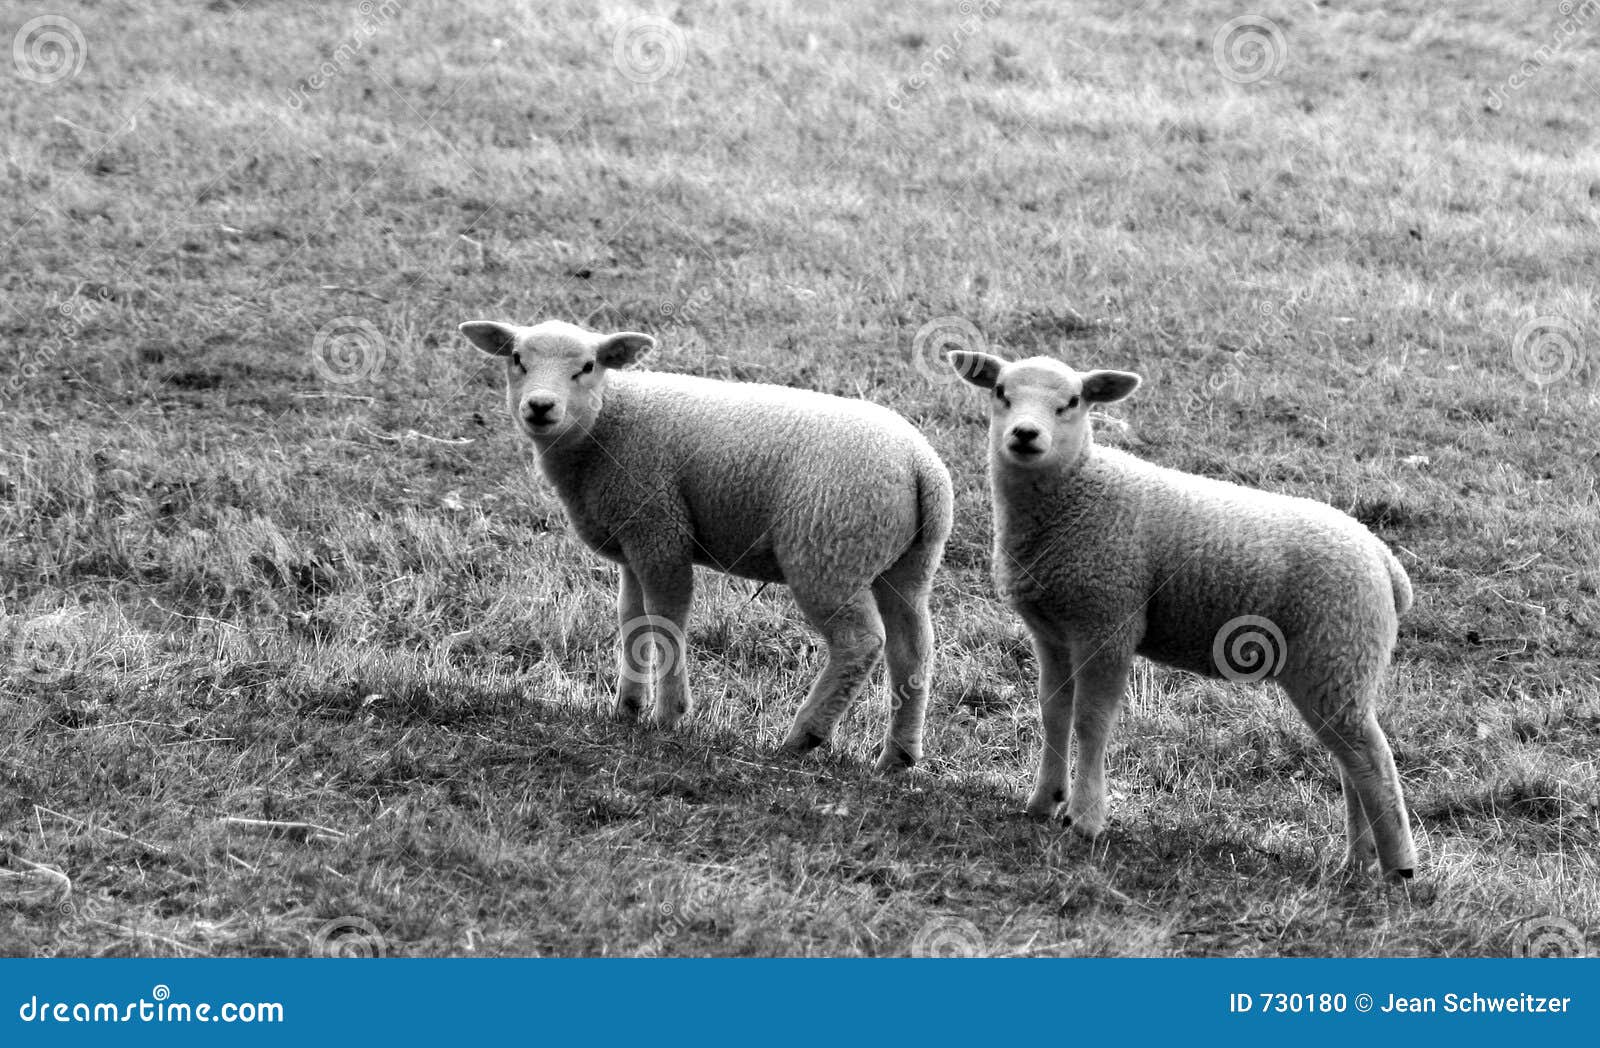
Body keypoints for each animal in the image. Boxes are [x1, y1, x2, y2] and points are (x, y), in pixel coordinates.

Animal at [460, 318, 954, 771]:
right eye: (517, 359)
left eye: (587, 366)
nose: (540, 407)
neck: (607, 424)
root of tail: (921, 465)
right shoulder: (633, 542)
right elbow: (631, 619)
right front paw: (627, 709)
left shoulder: (661, 532)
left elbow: (666, 618)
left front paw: (668, 715)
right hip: (908, 563)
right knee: (912, 650)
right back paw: (898, 756)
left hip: (830, 551)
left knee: (860, 644)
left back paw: (805, 735)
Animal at [947, 350, 1418, 878]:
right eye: (1001, 392)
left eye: (1071, 402)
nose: (1025, 435)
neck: (1076, 490)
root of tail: (1384, 560)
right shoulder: (1051, 631)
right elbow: (1053, 712)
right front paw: (1043, 801)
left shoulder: (1108, 619)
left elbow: (1091, 720)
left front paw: (1086, 818)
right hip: (1340, 665)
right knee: (1352, 760)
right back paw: (1357, 861)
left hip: (1337, 651)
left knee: (1373, 760)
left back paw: (1398, 868)